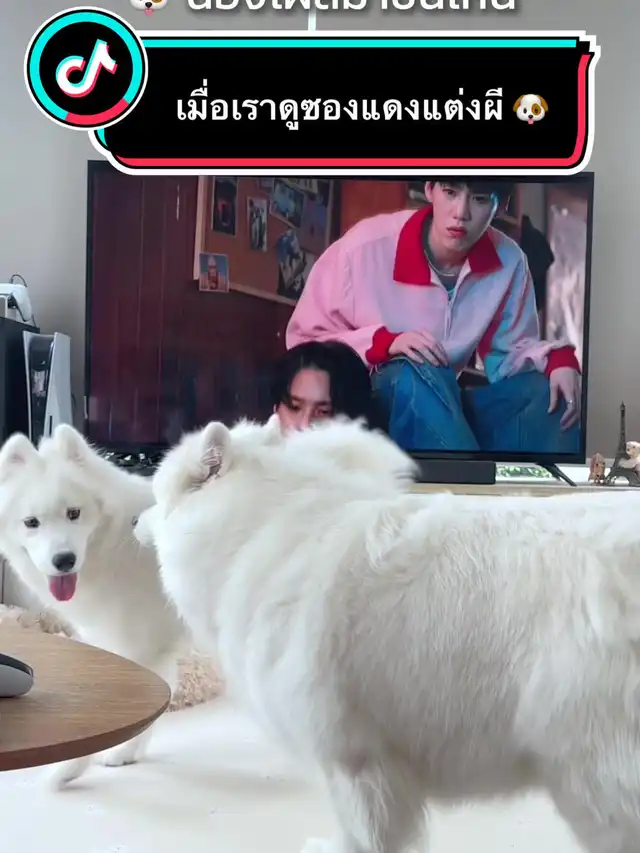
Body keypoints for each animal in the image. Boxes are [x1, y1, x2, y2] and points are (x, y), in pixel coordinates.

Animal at [0, 425, 187, 789]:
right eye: (31, 522)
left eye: (74, 513)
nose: (64, 560)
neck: (119, 549)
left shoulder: (142, 648)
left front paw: (72, 767)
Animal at [135, 416, 640, 853]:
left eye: (158, 498)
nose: (134, 521)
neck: (261, 528)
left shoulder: (355, 758)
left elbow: (362, 832)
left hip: (594, 777)